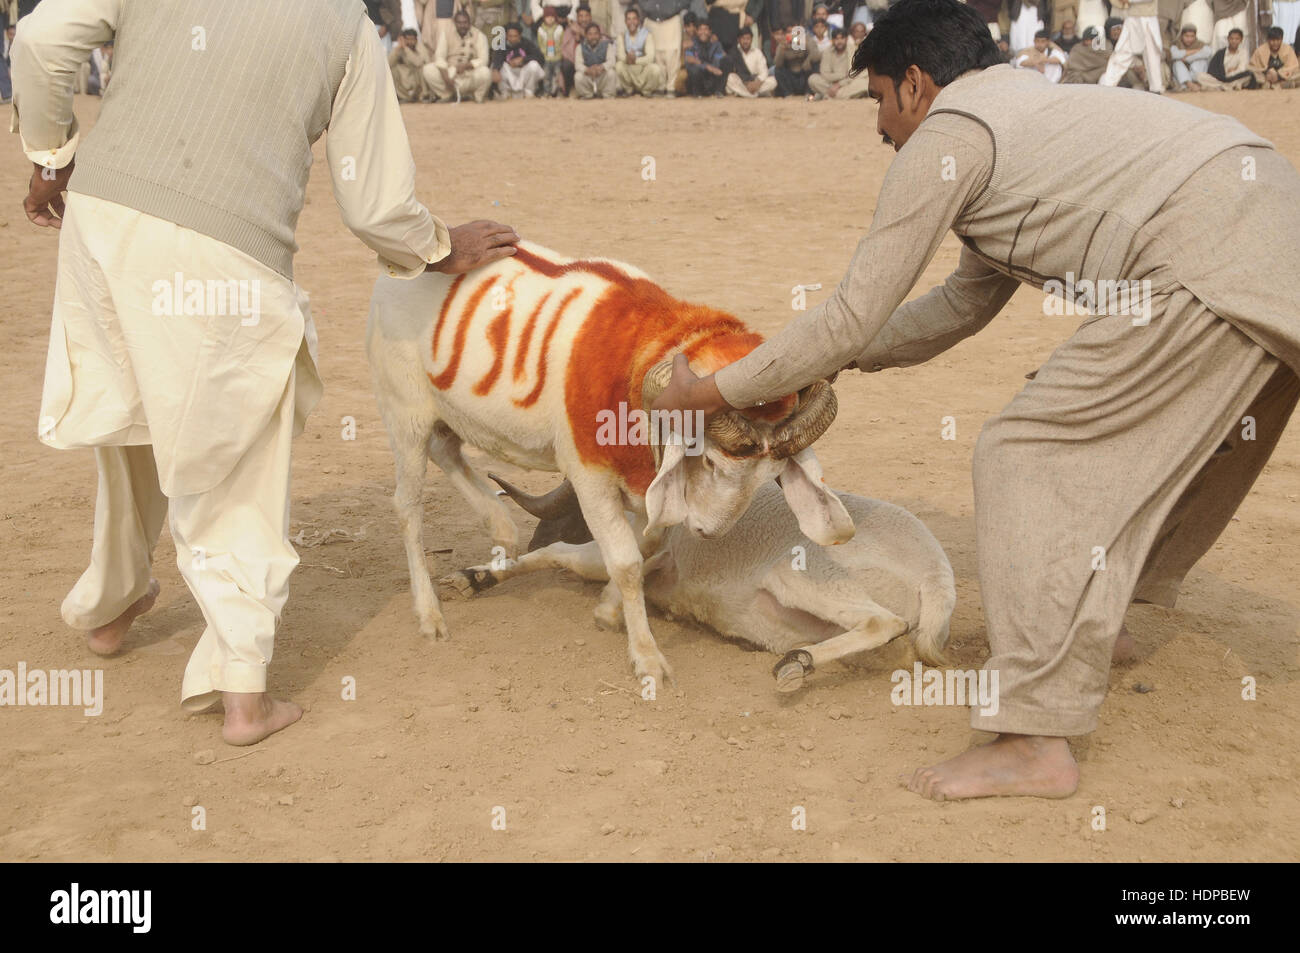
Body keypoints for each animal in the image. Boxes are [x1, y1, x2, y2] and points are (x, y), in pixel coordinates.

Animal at [365, 241, 850, 686]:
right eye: (711, 461)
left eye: (773, 477)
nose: (707, 531)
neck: (635, 358)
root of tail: (399, 269)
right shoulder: (589, 477)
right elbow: (626, 563)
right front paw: (647, 658)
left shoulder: (651, 488)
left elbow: (646, 547)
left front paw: (607, 610)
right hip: (403, 412)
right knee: (407, 507)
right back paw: (430, 615)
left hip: (447, 413)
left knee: (446, 450)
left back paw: (499, 526)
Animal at [442, 476, 955, 692]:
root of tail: (936, 576)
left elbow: (558, 556)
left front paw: (473, 577)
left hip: (801, 571)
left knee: (883, 623)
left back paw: (796, 664)